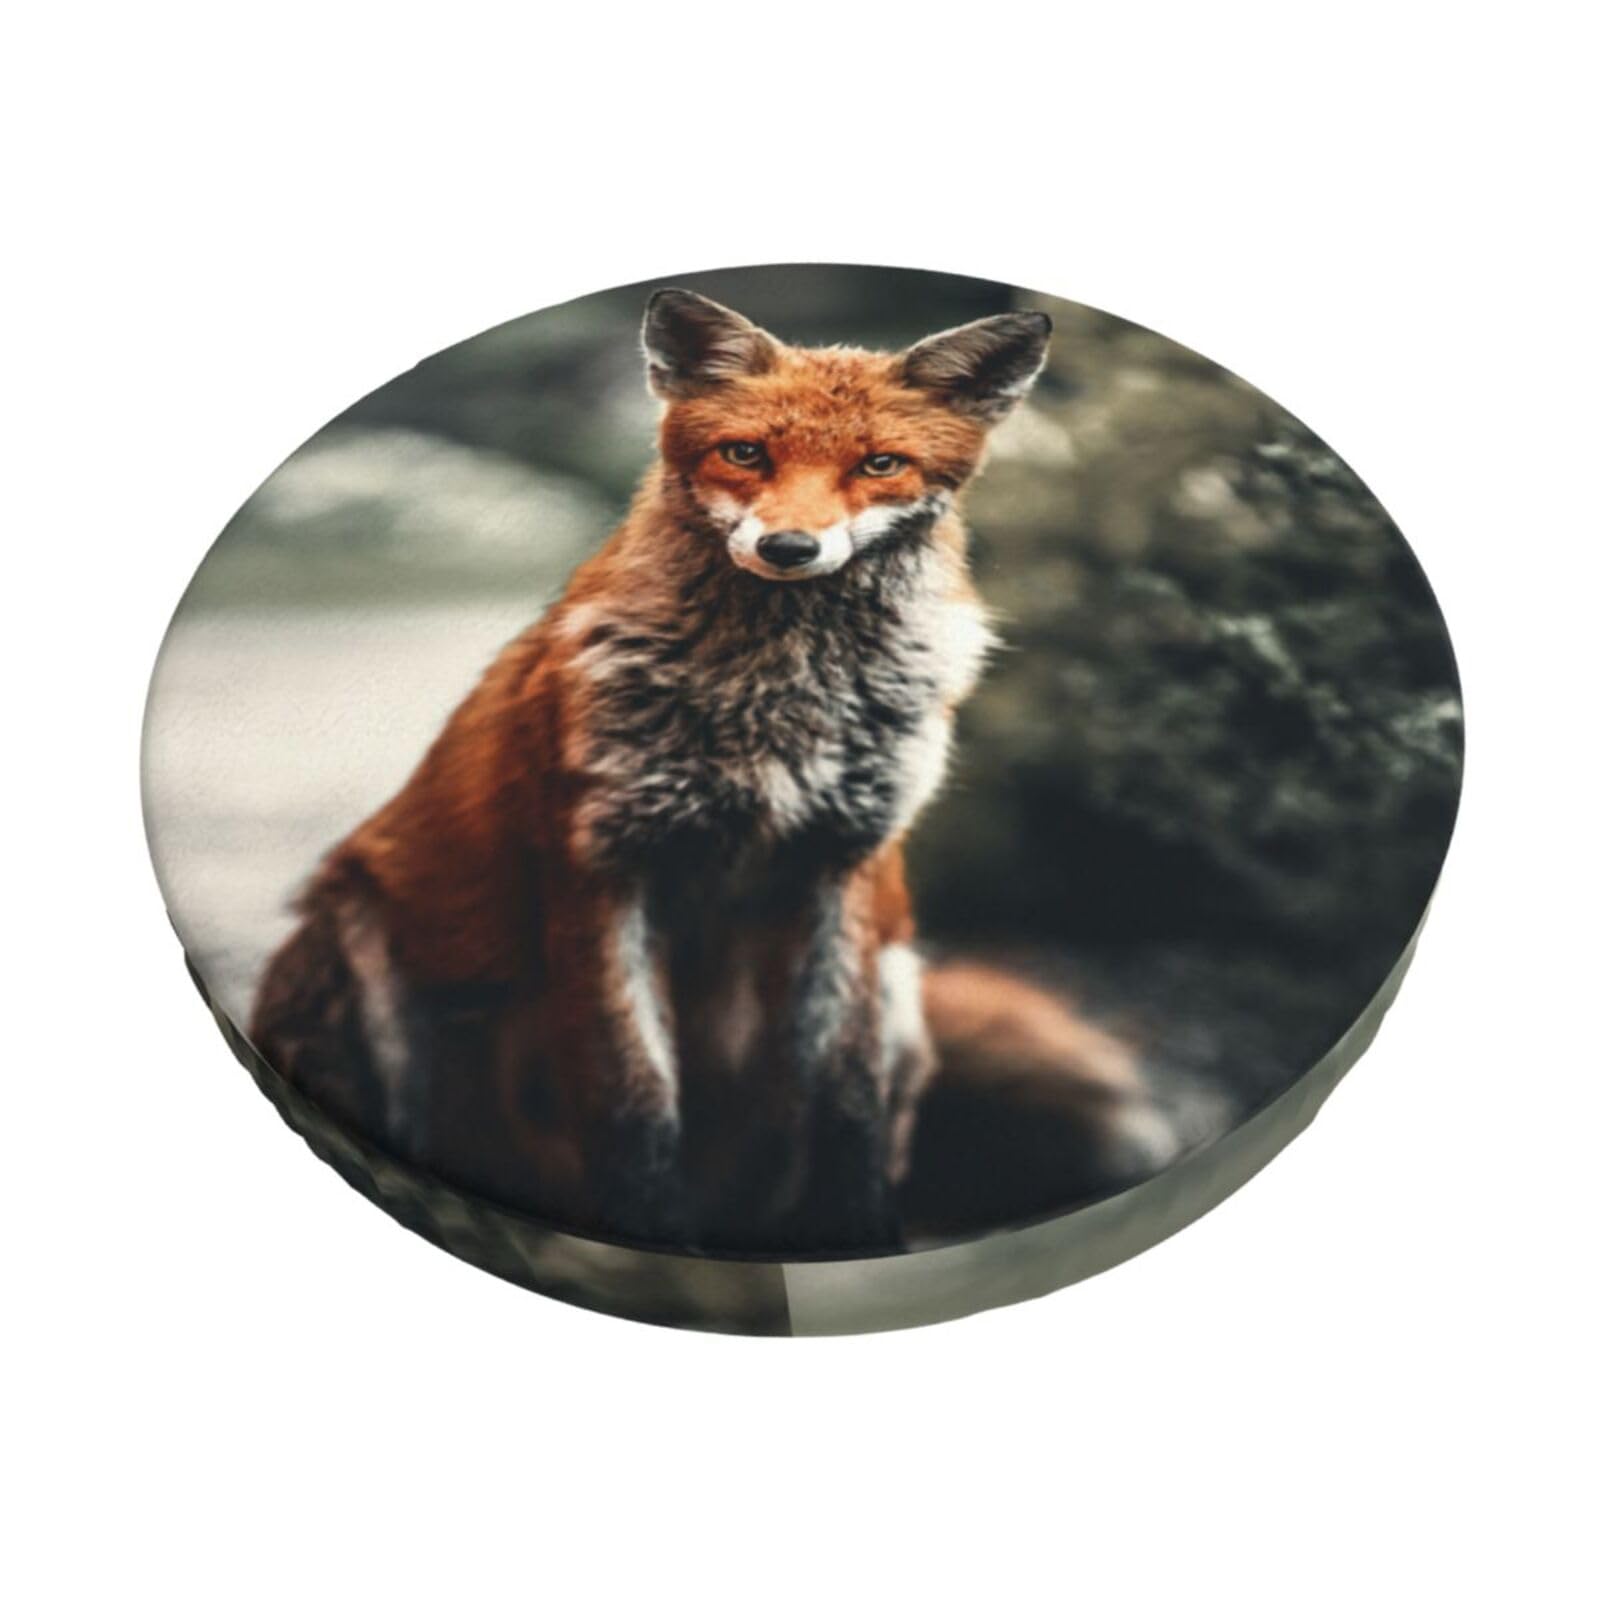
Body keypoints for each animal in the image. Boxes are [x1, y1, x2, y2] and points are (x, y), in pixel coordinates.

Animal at [252, 288, 1163, 1253]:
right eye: (746, 452)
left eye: (881, 463)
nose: (791, 547)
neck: (780, 708)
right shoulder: (603, 869)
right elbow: (636, 1100)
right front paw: (650, 1237)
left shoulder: (843, 864)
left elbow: (848, 1101)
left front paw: (859, 1235)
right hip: (357, 959)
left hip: (898, 986)